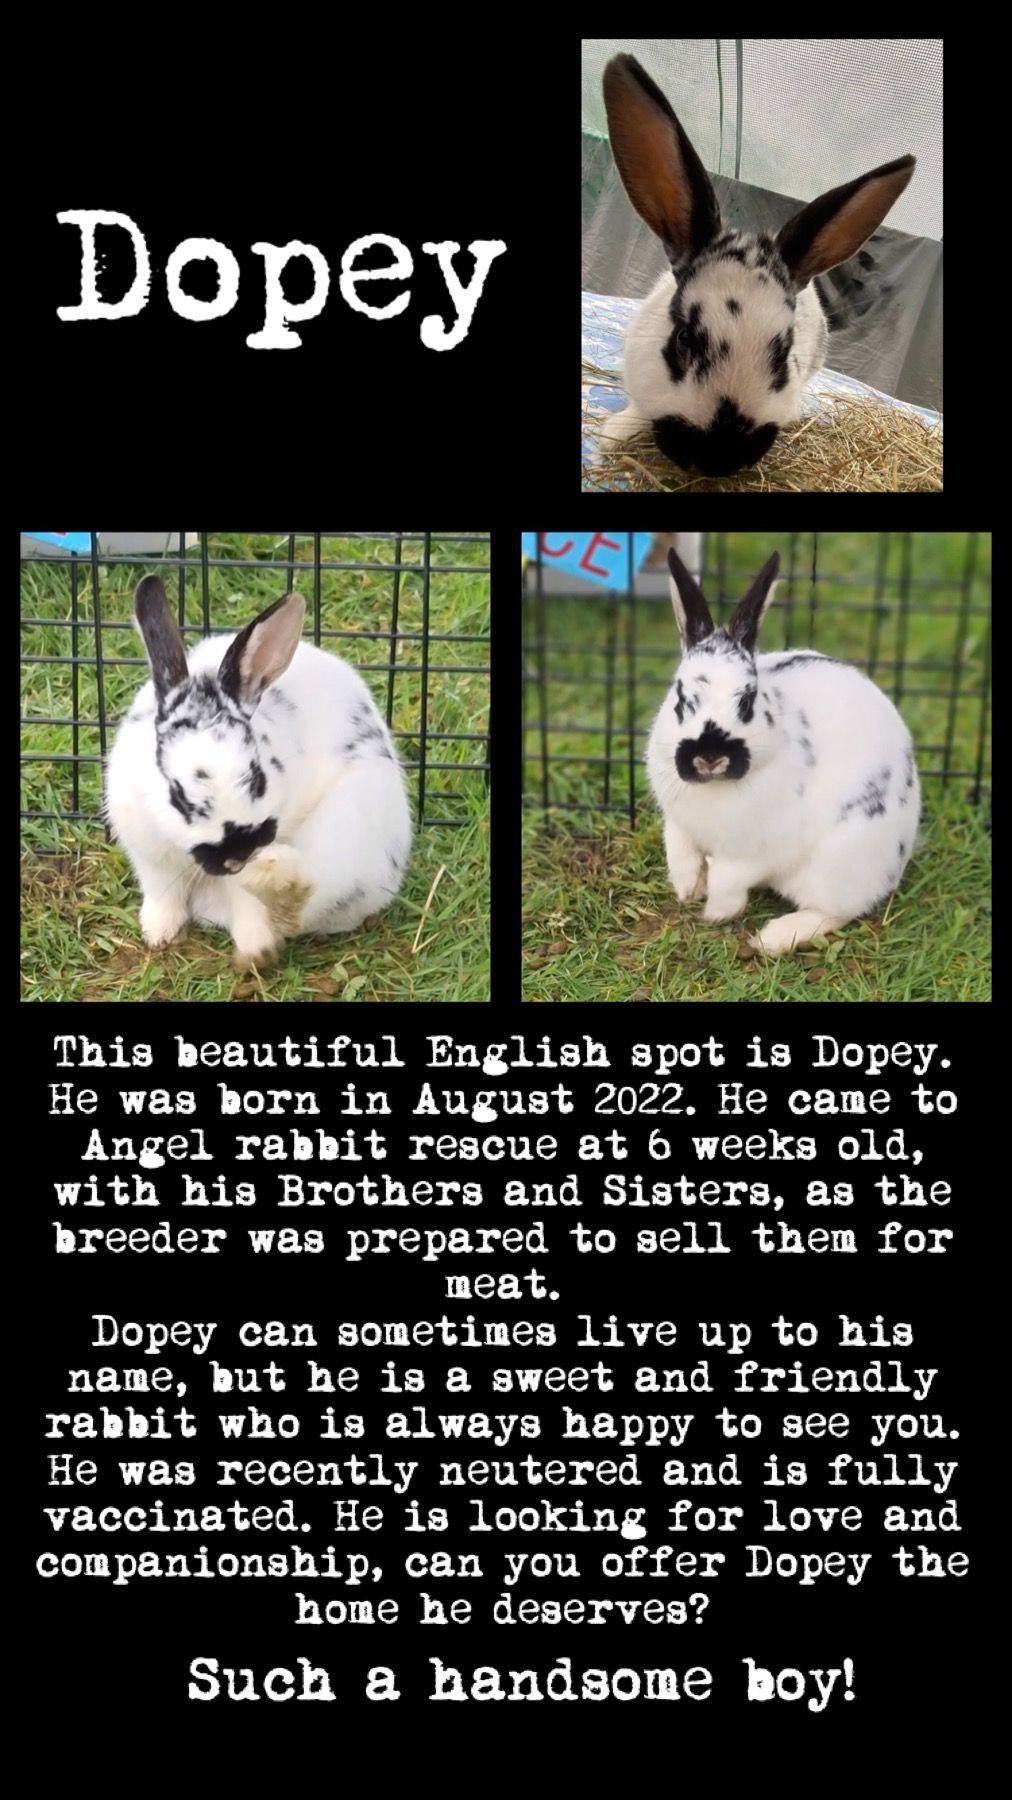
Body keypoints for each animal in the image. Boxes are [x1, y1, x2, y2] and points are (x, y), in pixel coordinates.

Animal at [105, 576, 412, 969]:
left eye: (257, 778)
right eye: (178, 796)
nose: (237, 855)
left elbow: (248, 905)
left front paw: (256, 953)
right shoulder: (150, 857)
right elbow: (163, 897)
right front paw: (159, 936)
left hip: (351, 823)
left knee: (311, 896)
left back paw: (280, 888)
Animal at [646, 548, 921, 954]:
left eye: (747, 701)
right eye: (681, 698)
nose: (709, 757)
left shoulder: (756, 852)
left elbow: (729, 880)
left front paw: (715, 912)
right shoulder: (677, 823)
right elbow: (678, 850)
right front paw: (688, 889)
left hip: (839, 866)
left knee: (837, 912)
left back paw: (773, 938)